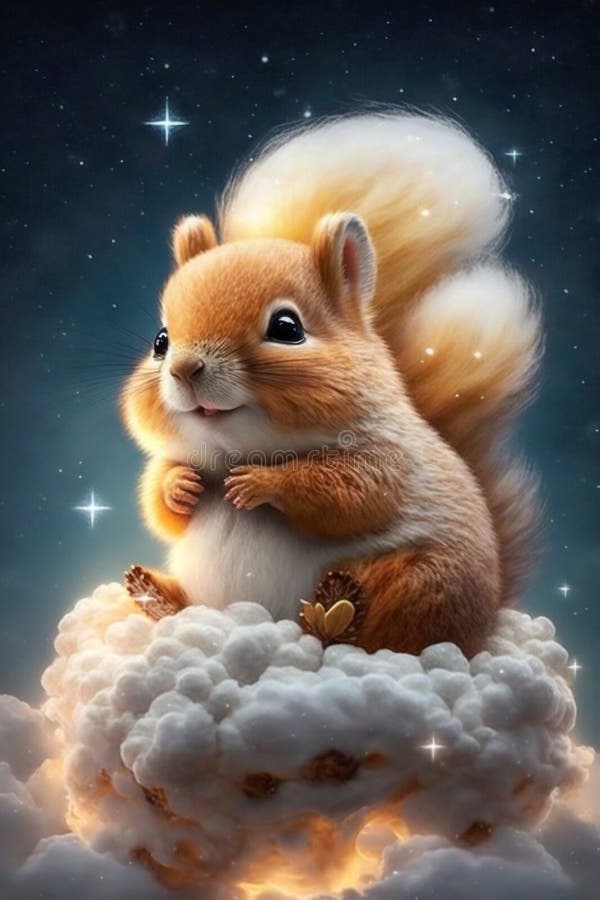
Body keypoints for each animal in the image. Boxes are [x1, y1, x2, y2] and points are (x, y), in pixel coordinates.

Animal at [121, 111, 542, 657]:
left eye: (287, 328)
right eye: (161, 340)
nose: (185, 369)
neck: (236, 449)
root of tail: (485, 621)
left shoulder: (390, 457)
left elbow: (350, 493)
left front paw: (261, 483)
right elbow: (158, 500)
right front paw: (180, 486)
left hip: (428, 583)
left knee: (387, 623)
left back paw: (333, 615)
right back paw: (155, 595)